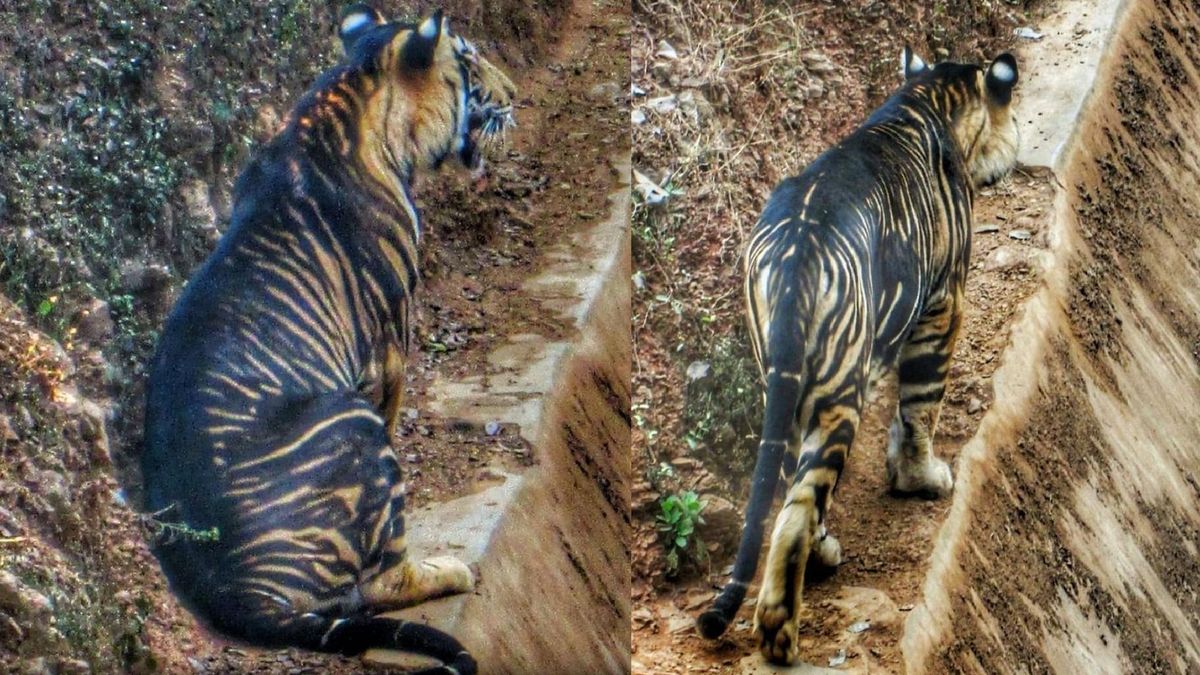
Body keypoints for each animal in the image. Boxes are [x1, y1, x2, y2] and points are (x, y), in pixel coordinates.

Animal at [141, 5, 515, 674]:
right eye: (470, 61)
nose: (516, 95)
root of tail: (238, 595)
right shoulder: (391, 343)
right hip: (352, 425)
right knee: (383, 581)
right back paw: (452, 569)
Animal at [696, 47, 1020, 664]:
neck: (926, 94)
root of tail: (796, 249)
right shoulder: (943, 302)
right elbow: (922, 405)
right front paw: (921, 477)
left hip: (788, 382)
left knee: (796, 486)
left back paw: (819, 558)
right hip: (838, 390)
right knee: (798, 507)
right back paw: (779, 632)